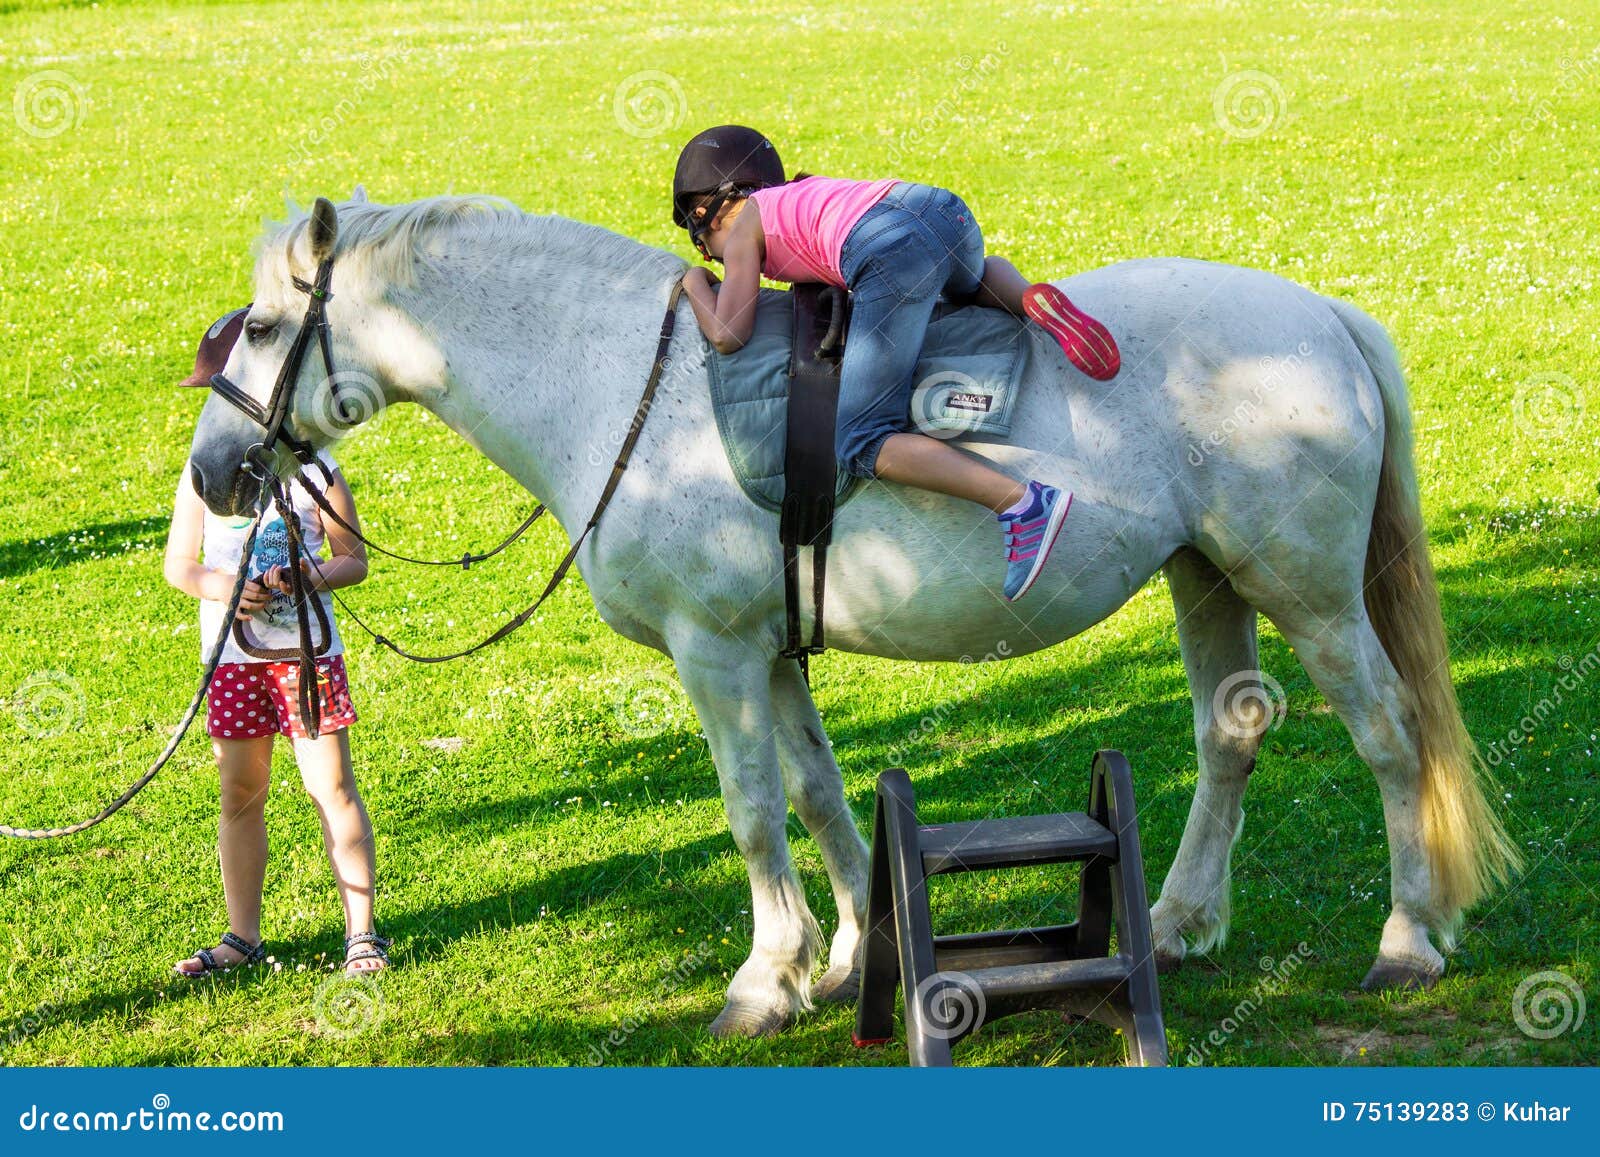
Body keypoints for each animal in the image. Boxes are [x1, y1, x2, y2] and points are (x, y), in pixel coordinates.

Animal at [185, 191, 1519, 1038]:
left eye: (264, 329)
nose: (213, 474)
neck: (623, 384)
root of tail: (1321, 317)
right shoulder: (770, 651)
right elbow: (819, 793)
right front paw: (838, 960)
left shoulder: (714, 653)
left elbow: (749, 810)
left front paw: (762, 979)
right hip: (1208, 579)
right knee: (1229, 734)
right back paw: (1181, 921)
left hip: (1307, 590)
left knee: (1390, 734)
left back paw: (1408, 936)